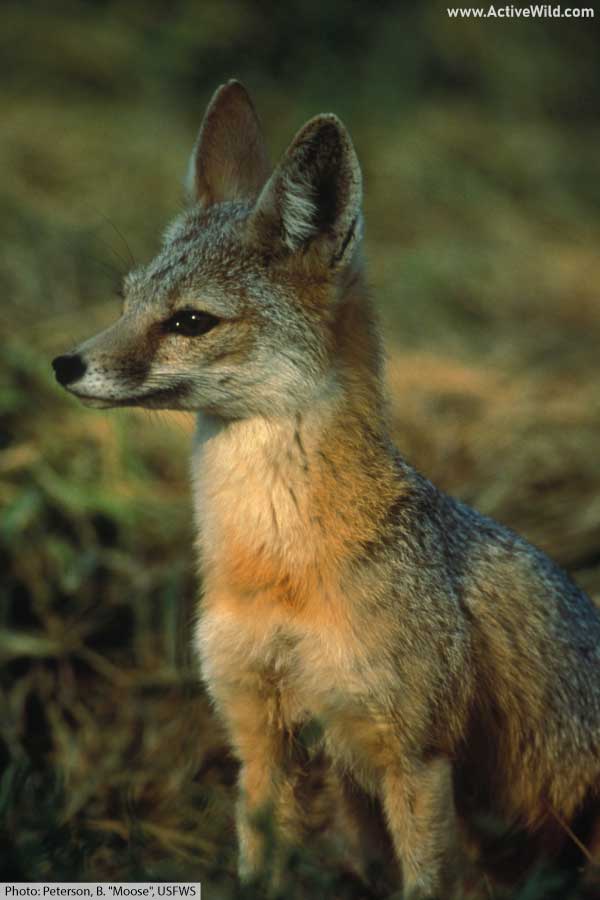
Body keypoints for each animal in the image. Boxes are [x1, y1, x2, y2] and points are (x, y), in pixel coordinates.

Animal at [52, 80, 600, 899]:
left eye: (190, 321)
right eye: (125, 300)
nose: (64, 364)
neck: (278, 566)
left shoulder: (415, 755)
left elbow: (425, 882)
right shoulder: (260, 738)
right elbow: (258, 865)